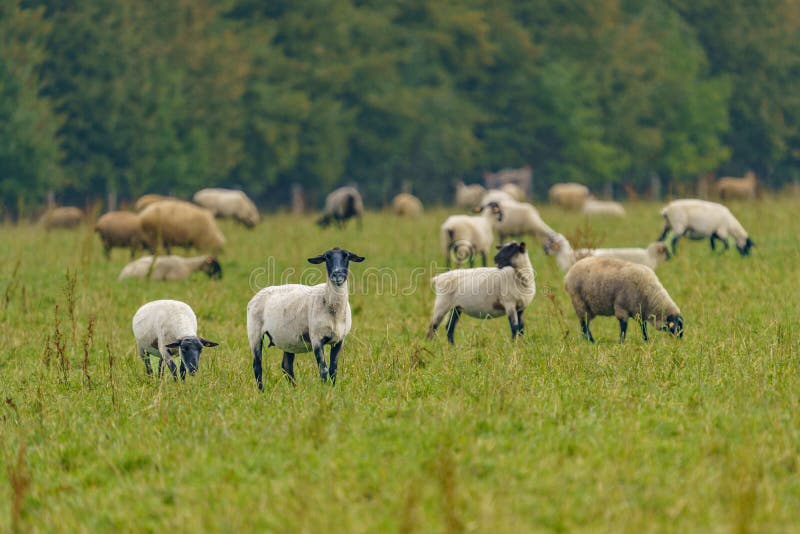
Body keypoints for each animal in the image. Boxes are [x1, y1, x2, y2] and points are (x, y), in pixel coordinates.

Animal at [247, 247, 365, 389]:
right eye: (327, 257)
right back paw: (262, 391)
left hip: (288, 339)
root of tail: (256, 295)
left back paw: (295, 389)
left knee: (286, 366)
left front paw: (333, 389)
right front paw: (324, 389)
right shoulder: (316, 338)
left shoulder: (339, 339)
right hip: (254, 333)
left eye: (346, 256)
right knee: (257, 366)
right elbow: (323, 369)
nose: (337, 275)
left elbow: (333, 369)